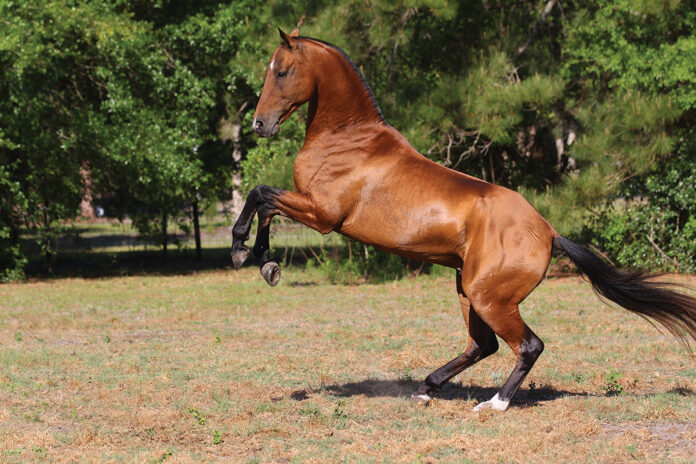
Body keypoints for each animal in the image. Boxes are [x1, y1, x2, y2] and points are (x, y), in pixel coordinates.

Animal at [231, 28, 696, 411]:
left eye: (282, 72)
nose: (259, 124)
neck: (348, 139)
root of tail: (548, 232)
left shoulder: (322, 213)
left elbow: (260, 196)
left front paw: (249, 255)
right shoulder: (310, 207)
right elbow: (264, 201)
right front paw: (262, 261)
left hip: (488, 296)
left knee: (527, 345)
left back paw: (495, 403)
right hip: (468, 290)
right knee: (482, 346)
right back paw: (425, 388)